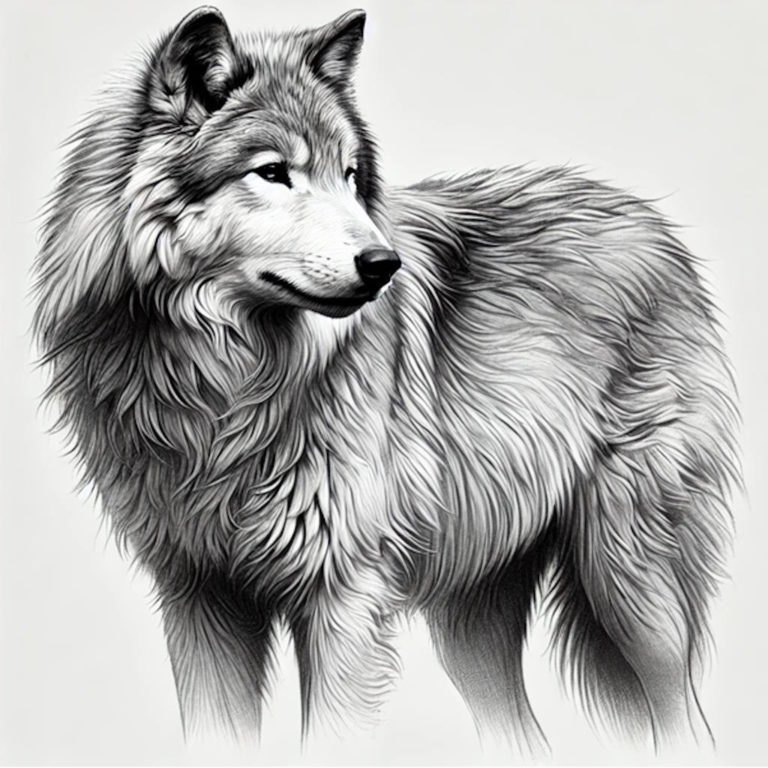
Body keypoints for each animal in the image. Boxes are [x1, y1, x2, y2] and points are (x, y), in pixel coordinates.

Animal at [33, 6, 739, 753]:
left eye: (349, 175)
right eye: (273, 172)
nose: (382, 264)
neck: (221, 387)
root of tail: (652, 221)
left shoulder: (342, 594)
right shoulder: (200, 597)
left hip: (628, 587)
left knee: (685, 716)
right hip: (473, 624)